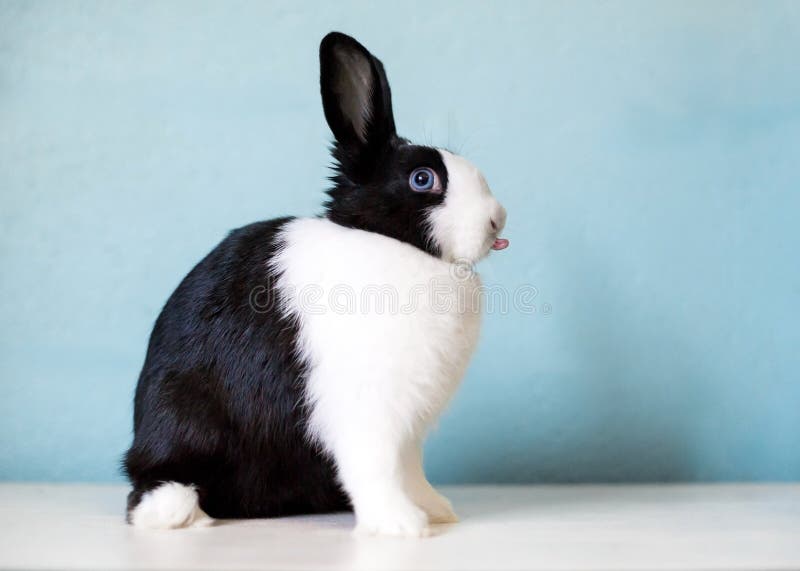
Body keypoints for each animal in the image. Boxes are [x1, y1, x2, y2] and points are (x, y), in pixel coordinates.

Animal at [124, 31, 508, 537]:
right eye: (423, 179)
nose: (498, 218)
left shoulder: (410, 424)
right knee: (146, 492)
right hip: (181, 425)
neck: (392, 245)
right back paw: (180, 512)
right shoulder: (366, 410)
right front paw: (402, 525)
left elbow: (410, 468)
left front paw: (435, 510)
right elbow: (377, 467)